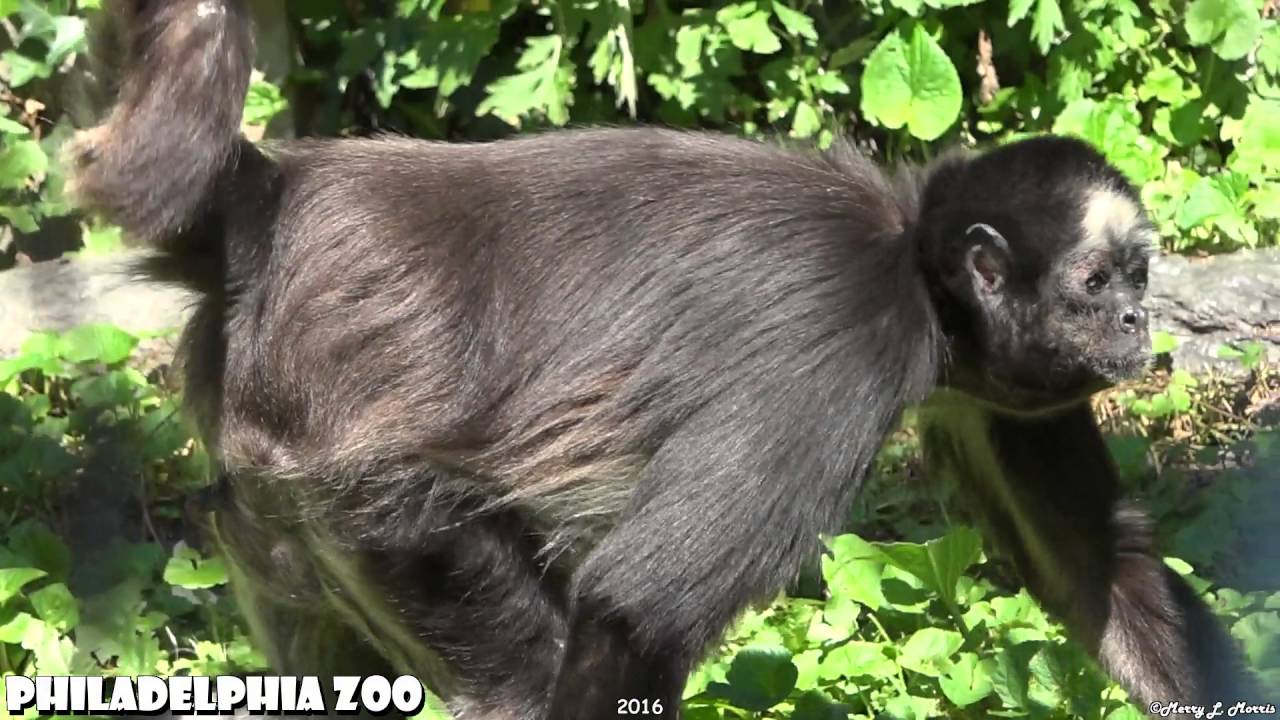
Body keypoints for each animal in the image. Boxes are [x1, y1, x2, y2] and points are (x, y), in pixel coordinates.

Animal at [65, 1, 1258, 718]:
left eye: (1136, 278)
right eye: (1096, 283)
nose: (1134, 327)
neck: (910, 261)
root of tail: (286, 202)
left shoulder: (996, 384)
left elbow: (1089, 567)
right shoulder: (846, 344)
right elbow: (638, 606)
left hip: (271, 504)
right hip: (361, 487)